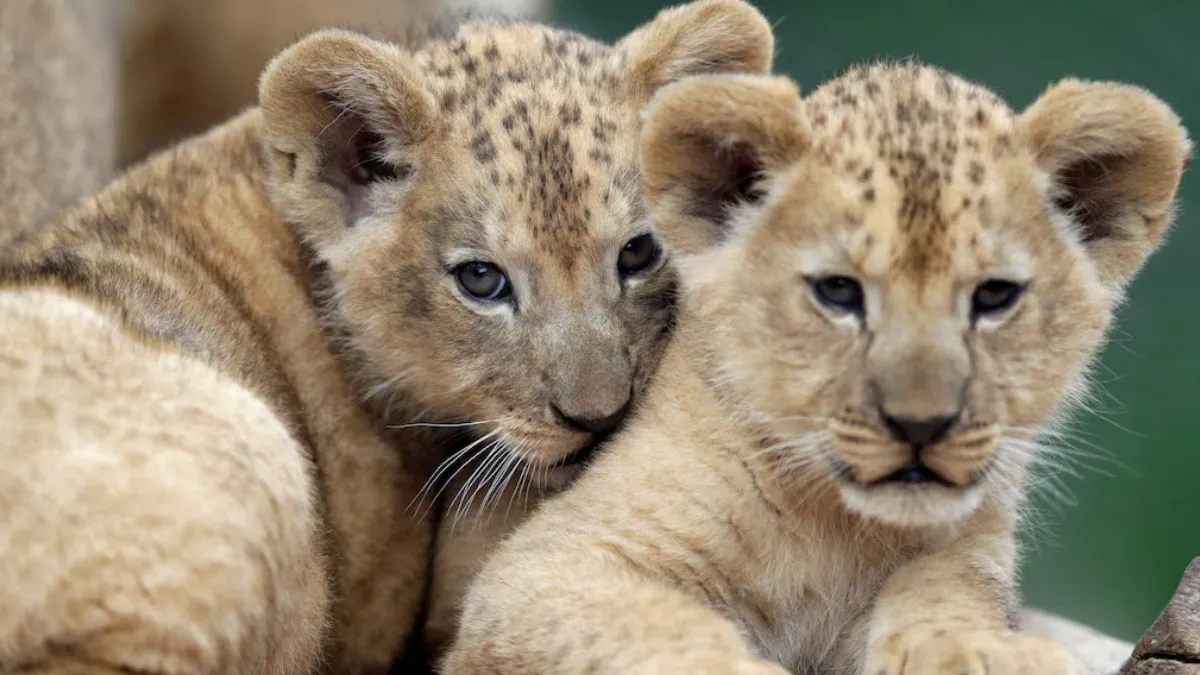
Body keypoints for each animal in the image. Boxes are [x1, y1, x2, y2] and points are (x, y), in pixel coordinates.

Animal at [442, 63, 1191, 675]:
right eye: (837, 292)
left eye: (994, 297)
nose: (921, 425)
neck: (838, 529)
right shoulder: (541, 570)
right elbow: (664, 629)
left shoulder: (971, 542)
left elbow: (948, 592)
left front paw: (984, 652)